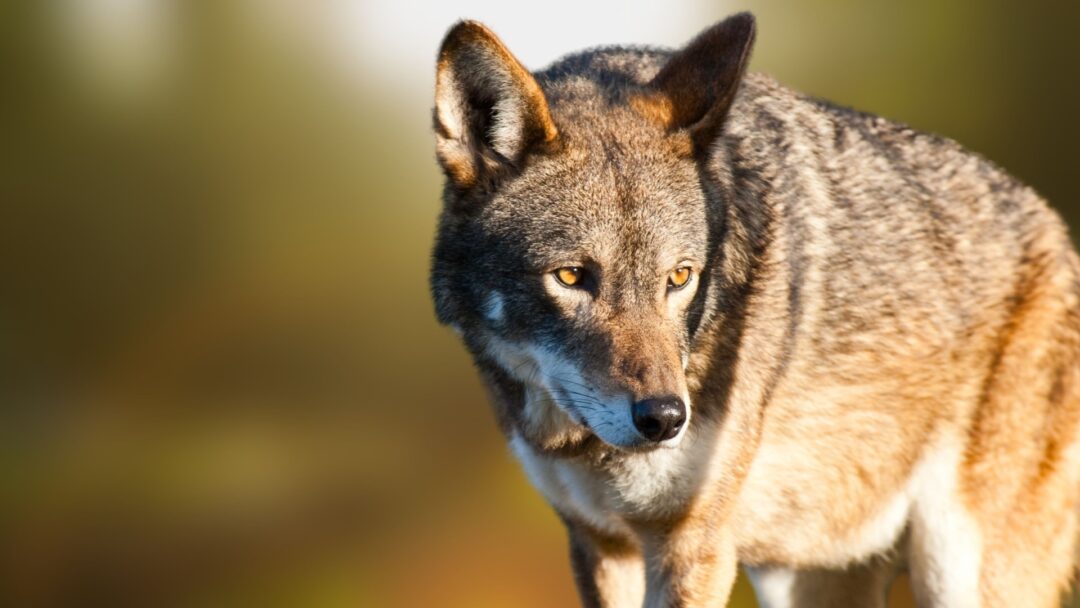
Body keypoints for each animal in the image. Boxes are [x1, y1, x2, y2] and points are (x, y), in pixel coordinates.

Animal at [429, 12, 1080, 607]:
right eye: (571, 277)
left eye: (680, 277)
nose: (665, 419)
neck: (579, 443)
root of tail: (1058, 232)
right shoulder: (600, 544)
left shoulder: (694, 545)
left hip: (962, 572)